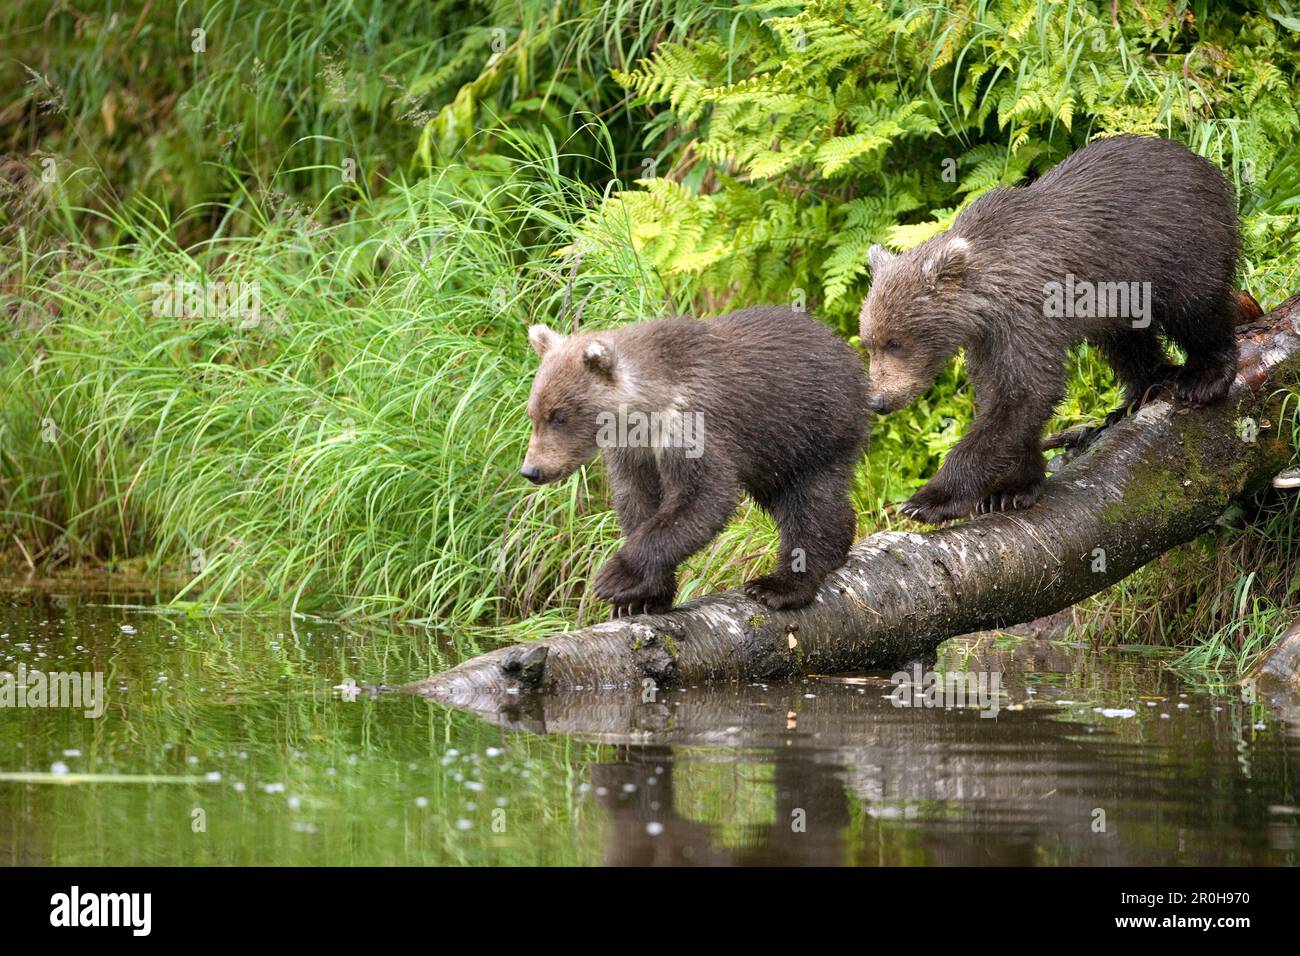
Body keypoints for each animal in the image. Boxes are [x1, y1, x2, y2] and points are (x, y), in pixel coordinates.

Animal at [520, 306, 869, 615]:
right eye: (533, 413)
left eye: (559, 416)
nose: (531, 470)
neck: (645, 412)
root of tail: (844, 348)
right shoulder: (632, 452)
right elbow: (637, 502)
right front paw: (644, 598)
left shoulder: (693, 426)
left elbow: (702, 498)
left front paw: (615, 575)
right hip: (772, 457)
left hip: (814, 429)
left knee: (811, 503)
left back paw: (779, 586)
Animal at [859, 135, 1242, 524]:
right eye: (868, 343)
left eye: (894, 342)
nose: (877, 400)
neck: (987, 303)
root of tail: (1201, 162)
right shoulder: (989, 340)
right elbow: (1004, 397)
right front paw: (1010, 489)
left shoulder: (1026, 317)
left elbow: (1024, 393)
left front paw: (929, 498)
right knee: (1126, 342)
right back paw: (1135, 397)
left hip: (1175, 245)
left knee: (1196, 308)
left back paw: (1203, 376)